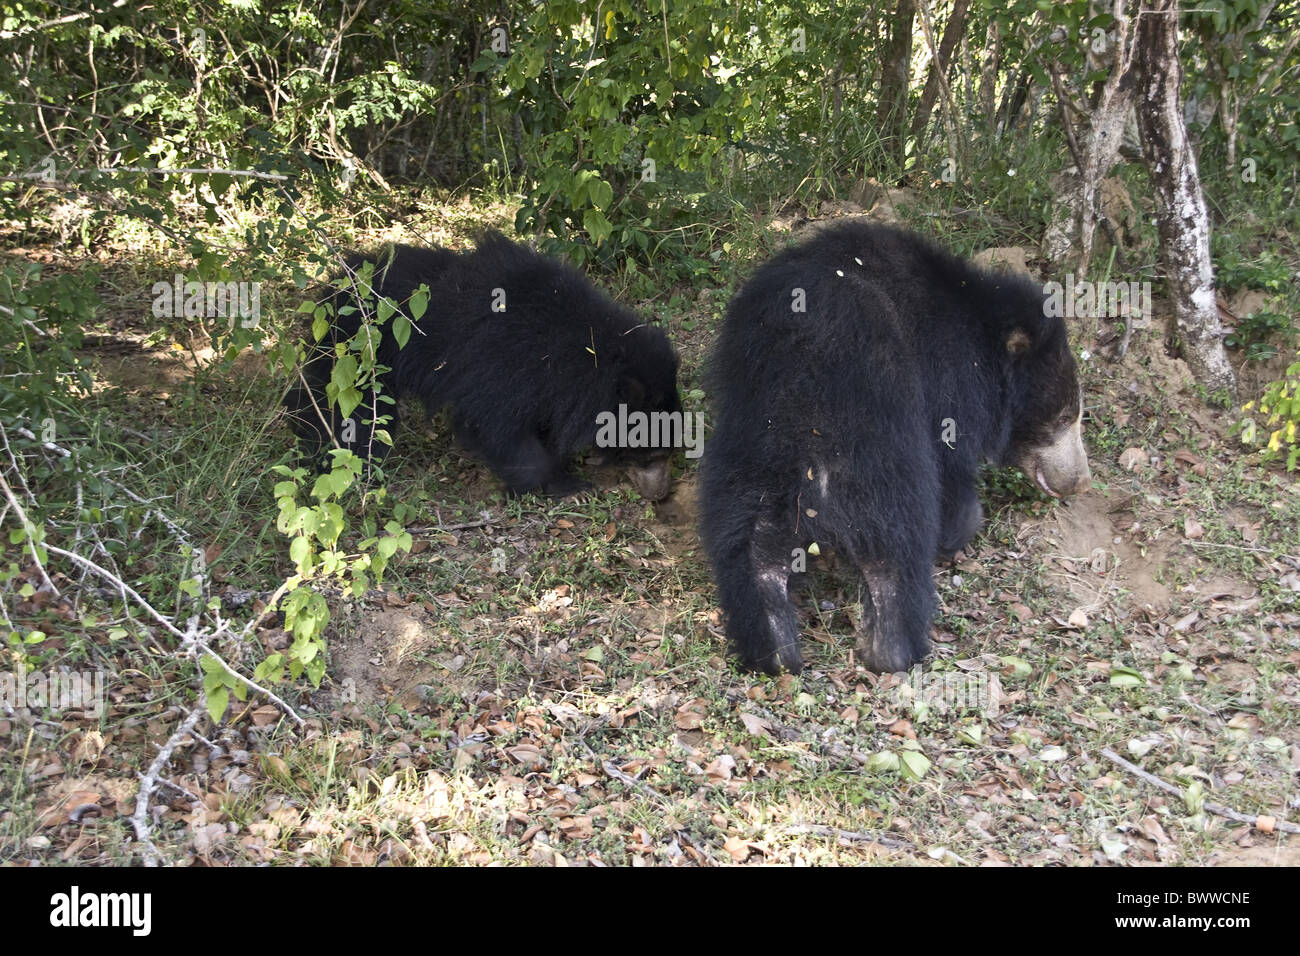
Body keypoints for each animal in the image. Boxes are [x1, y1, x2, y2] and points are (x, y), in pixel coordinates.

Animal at [285, 232, 682, 499]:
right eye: (651, 455)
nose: (660, 493)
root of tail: (339, 283)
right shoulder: (504, 366)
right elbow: (495, 427)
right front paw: (570, 487)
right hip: (354, 350)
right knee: (343, 410)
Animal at [699, 221, 1091, 674]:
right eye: (1066, 418)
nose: (1080, 481)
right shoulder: (946, 380)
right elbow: (952, 474)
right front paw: (963, 525)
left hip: (754, 457)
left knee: (749, 548)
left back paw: (776, 647)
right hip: (883, 462)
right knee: (898, 550)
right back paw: (892, 647)